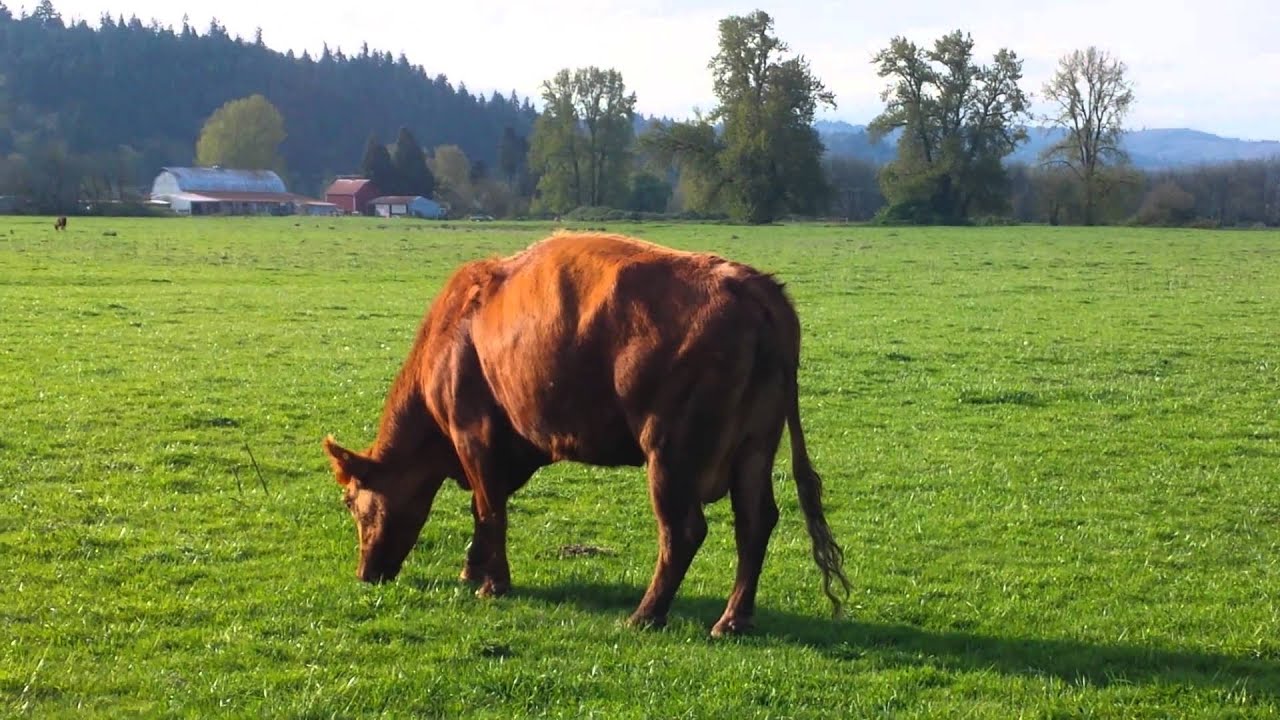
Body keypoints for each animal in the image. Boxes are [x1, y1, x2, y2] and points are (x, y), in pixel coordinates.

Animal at [322, 231, 851, 636]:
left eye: (351, 502)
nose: (365, 574)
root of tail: (753, 286)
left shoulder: (474, 434)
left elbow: (490, 510)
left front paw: (492, 583)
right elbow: (482, 507)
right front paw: (473, 568)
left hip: (671, 450)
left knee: (682, 531)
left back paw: (646, 615)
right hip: (754, 445)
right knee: (755, 523)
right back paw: (733, 619)